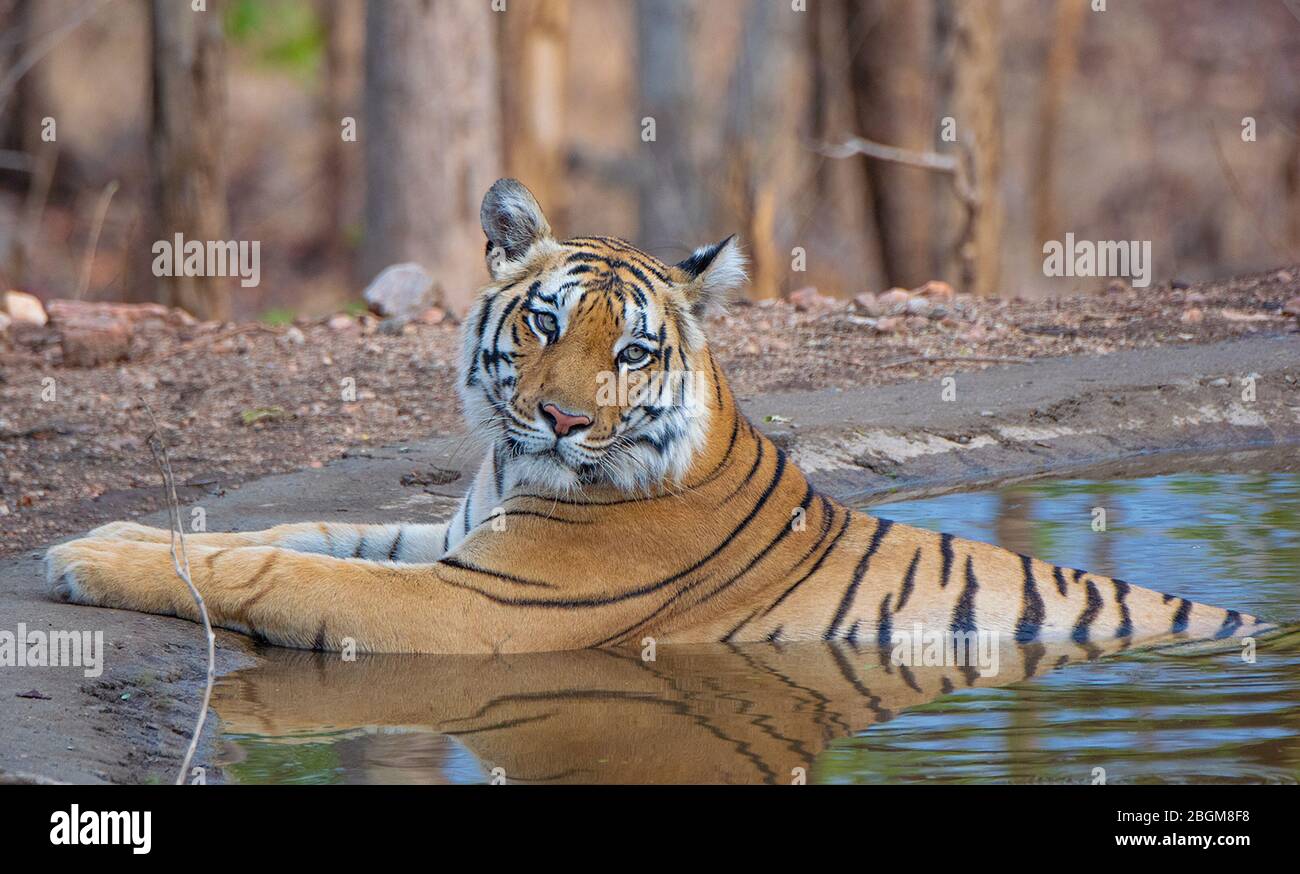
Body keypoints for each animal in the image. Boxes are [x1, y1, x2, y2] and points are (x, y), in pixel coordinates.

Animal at [45, 178, 1275, 656]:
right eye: (544, 321)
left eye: (632, 352)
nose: (557, 421)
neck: (517, 471)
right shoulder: (453, 541)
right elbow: (287, 532)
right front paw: (125, 533)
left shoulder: (472, 605)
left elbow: (279, 569)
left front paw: (81, 558)